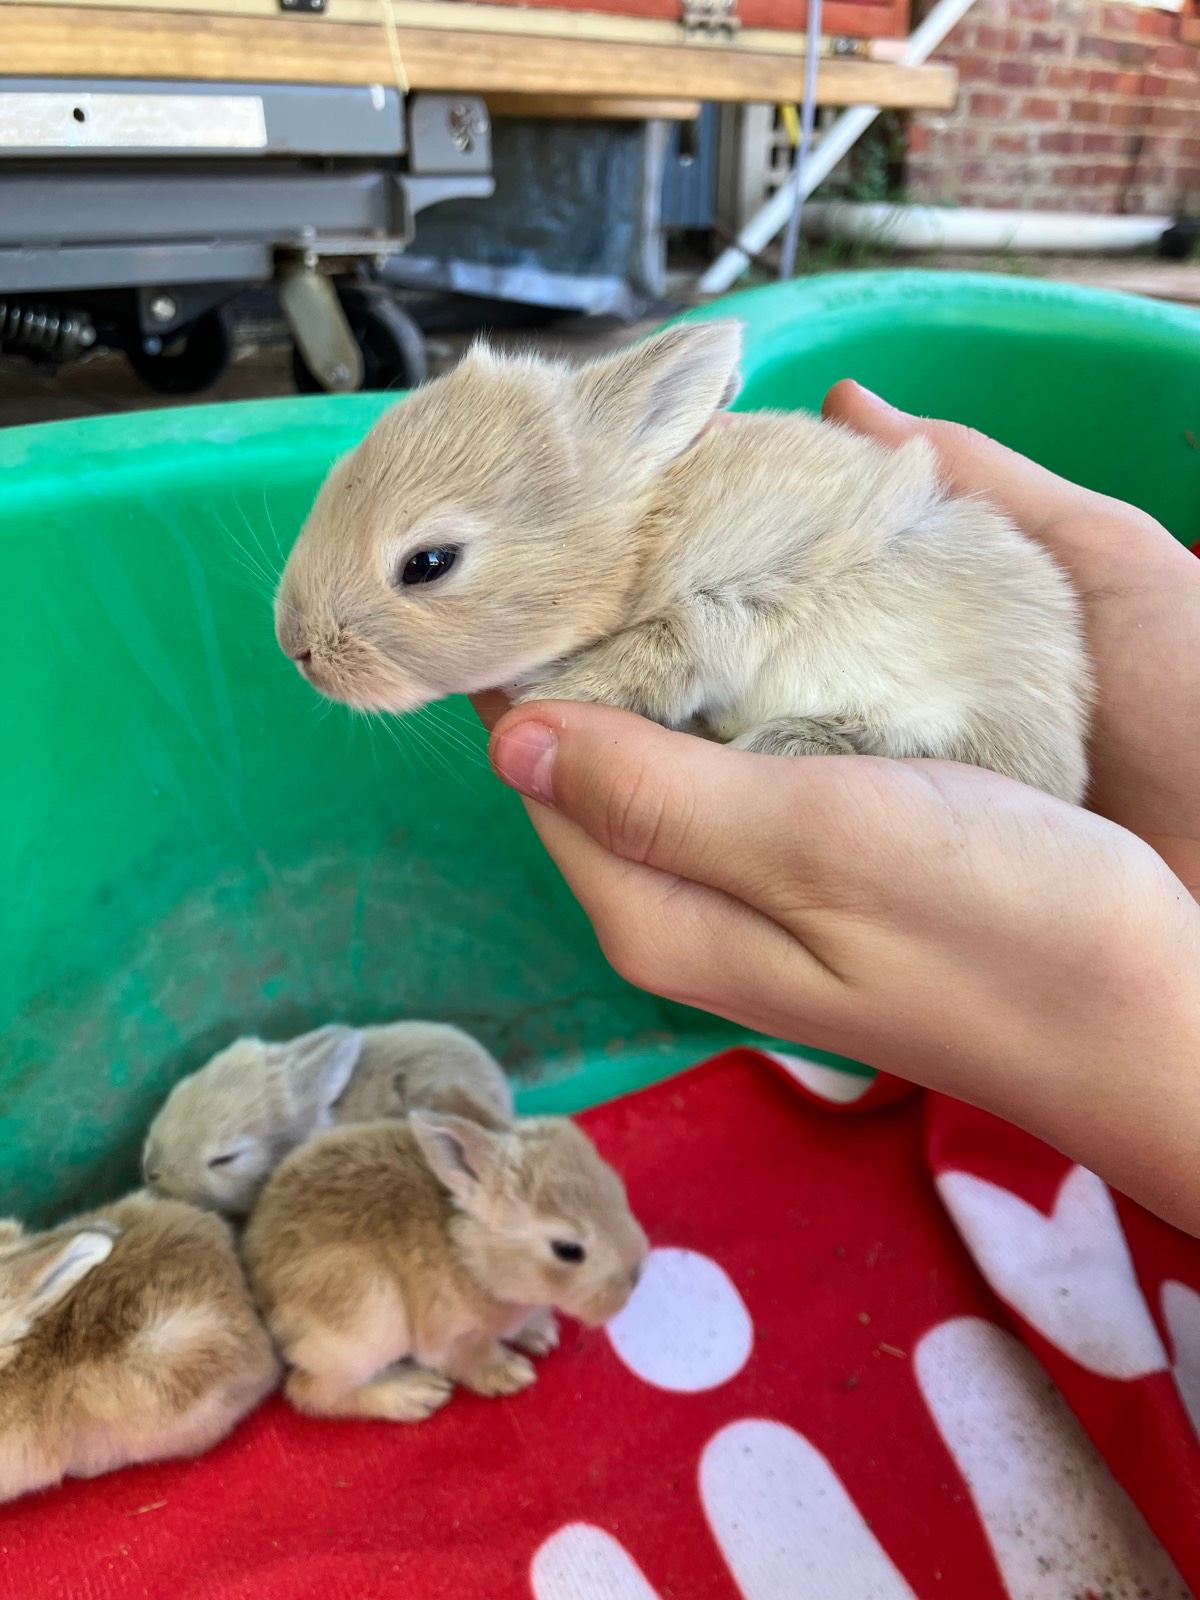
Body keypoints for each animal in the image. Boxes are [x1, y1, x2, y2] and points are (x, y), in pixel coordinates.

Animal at [241, 1110, 648, 1422]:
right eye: (568, 1250)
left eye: (617, 1190)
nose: (636, 1278)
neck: (469, 1256)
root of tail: (259, 1288)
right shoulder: (451, 1336)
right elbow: (470, 1360)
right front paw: (511, 1374)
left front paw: (541, 1333)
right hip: (366, 1326)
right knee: (311, 1392)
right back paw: (413, 1394)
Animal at [275, 319, 1092, 804]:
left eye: (429, 563)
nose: (297, 649)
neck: (641, 542)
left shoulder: (739, 599)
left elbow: (666, 646)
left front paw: (560, 690)